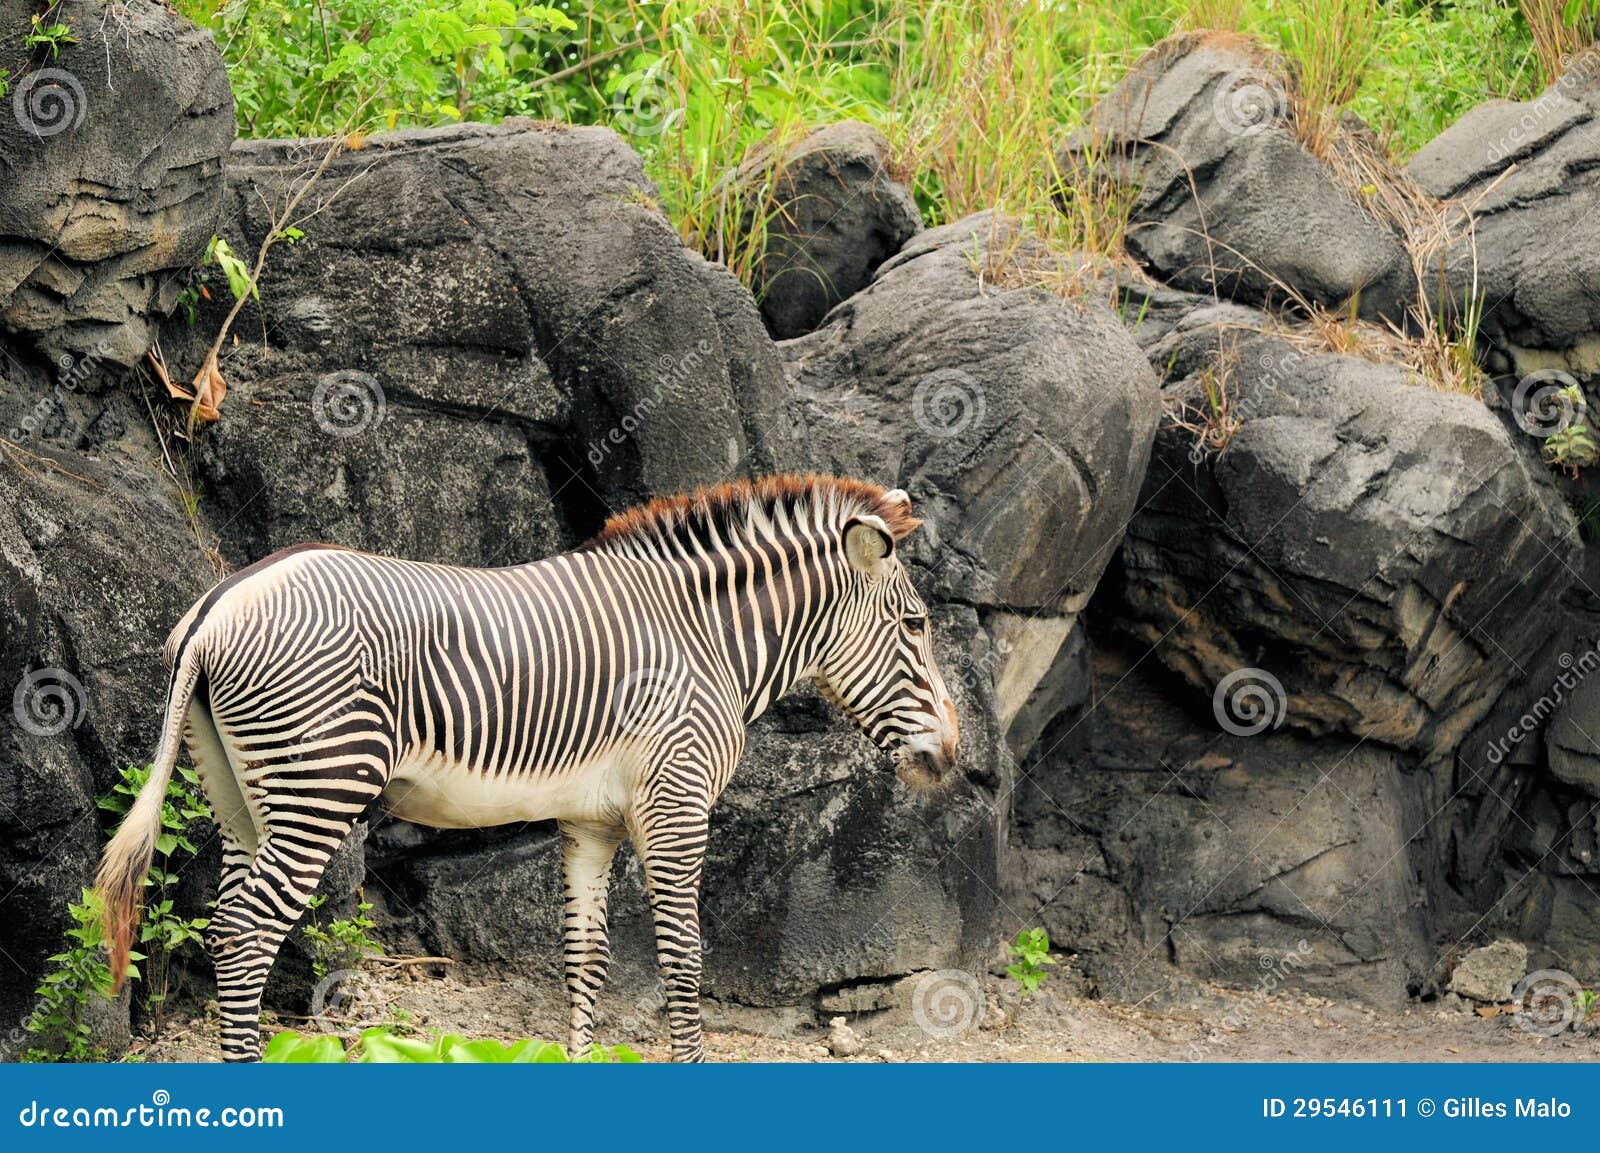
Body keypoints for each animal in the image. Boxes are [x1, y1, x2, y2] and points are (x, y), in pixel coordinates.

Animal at [96, 474, 960, 1062]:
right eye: (916, 624)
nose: (951, 756)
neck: (705, 640)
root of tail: (219, 605)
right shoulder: (676, 803)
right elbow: (683, 957)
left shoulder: (590, 821)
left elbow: (585, 959)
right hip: (323, 784)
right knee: (247, 931)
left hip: (240, 796)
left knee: (224, 924)